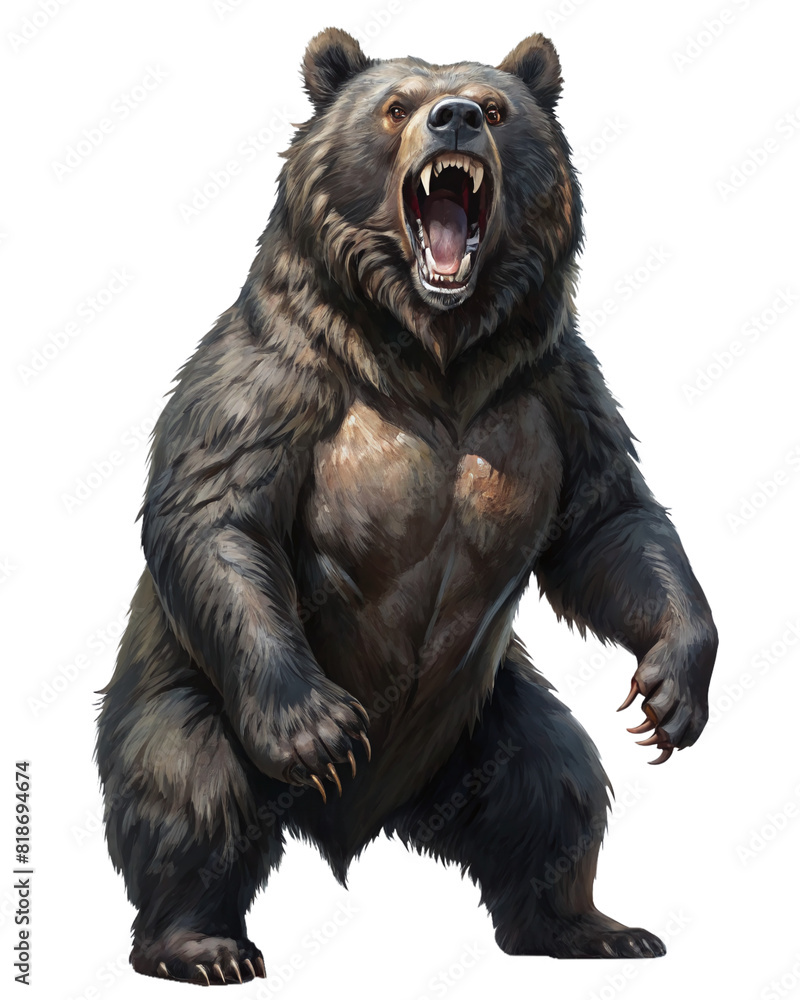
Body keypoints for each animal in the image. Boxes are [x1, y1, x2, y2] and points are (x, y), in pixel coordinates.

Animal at [95, 28, 718, 984]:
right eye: (395, 108)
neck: (434, 352)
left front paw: (672, 689)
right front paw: (317, 729)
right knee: (186, 784)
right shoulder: (279, 373)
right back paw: (201, 944)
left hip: (490, 717)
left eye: (497, 108)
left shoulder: (550, 383)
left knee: (555, 788)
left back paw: (593, 927)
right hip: (191, 692)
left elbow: (609, 520)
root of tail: (367, 815)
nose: (454, 116)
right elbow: (221, 513)